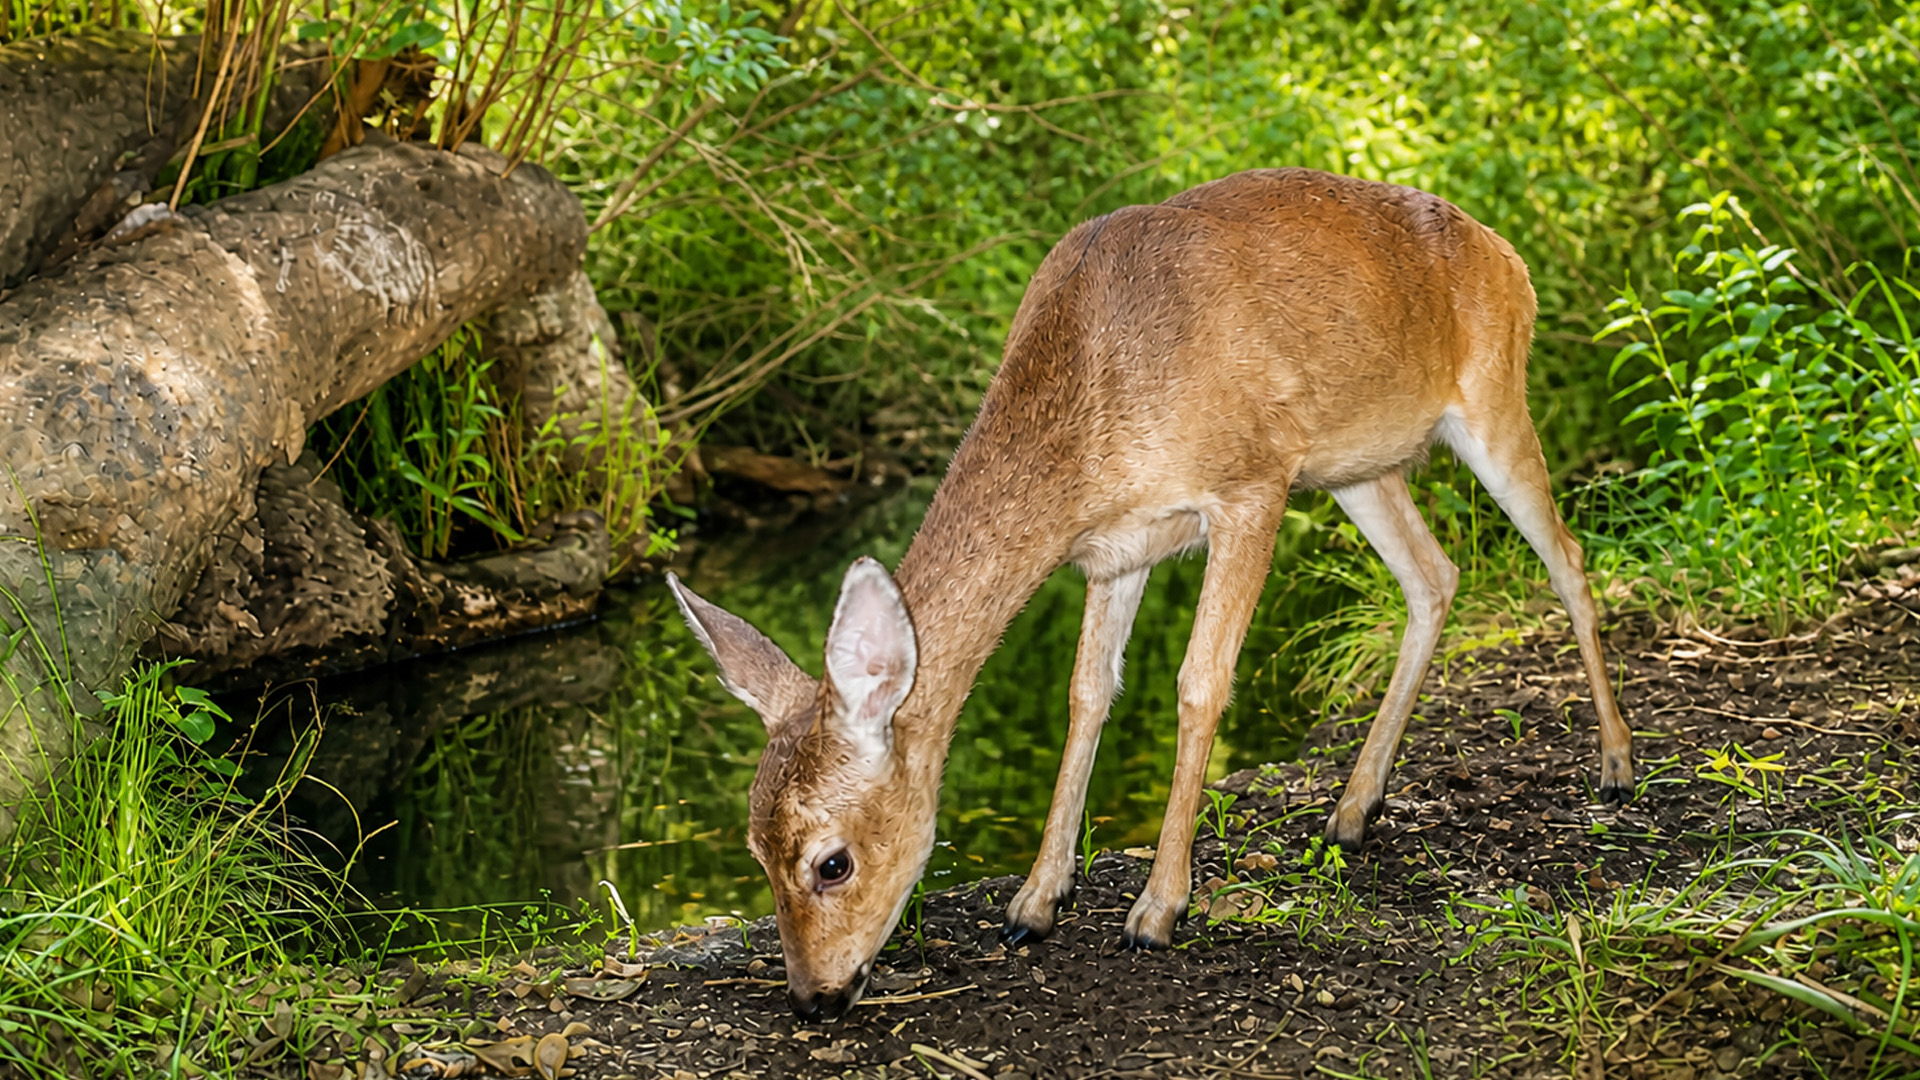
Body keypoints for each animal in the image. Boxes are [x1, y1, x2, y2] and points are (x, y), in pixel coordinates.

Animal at [665, 168, 1633, 1021]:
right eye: (755, 852)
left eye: (832, 862)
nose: (812, 998)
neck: (1095, 406)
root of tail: (1507, 252)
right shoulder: (1114, 552)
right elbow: (1087, 693)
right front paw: (1036, 901)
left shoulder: (1251, 484)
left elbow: (1199, 682)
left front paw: (1157, 909)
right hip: (1358, 463)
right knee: (1435, 575)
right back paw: (1353, 812)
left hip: (1491, 399)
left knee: (1568, 556)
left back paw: (1618, 767)